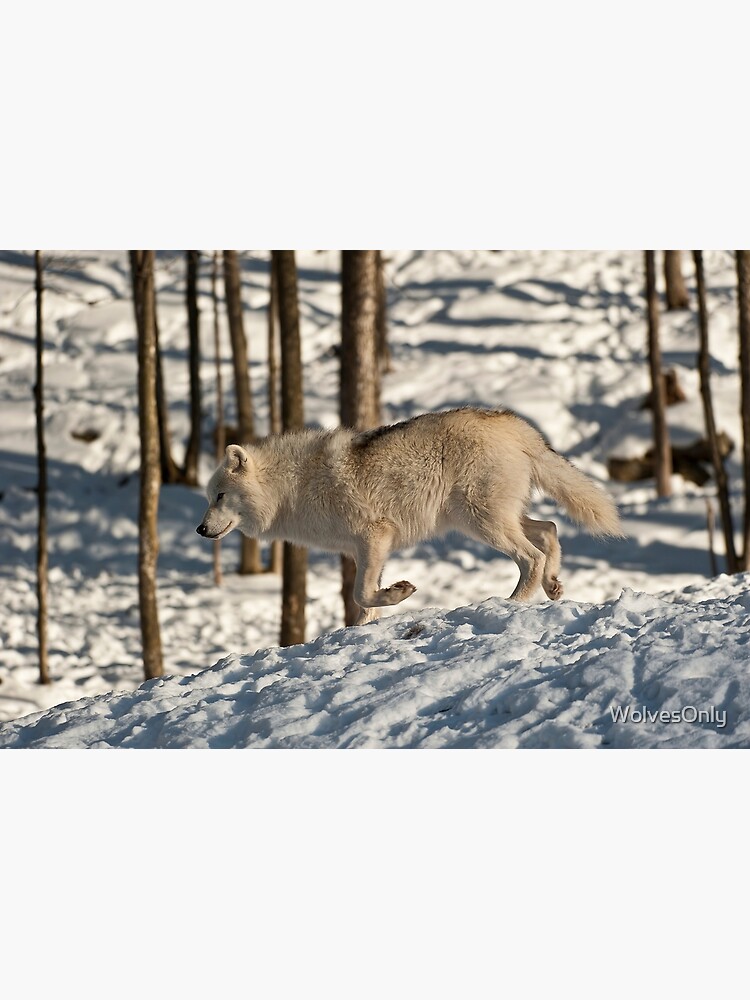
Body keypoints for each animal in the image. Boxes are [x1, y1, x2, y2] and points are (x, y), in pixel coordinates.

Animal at [196, 407, 623, 624]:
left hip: (481, 522)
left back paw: (511, 603)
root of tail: (518, 426)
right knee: (549, 529)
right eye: (209, 498)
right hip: (490, 519)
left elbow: (361, 593)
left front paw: (399, 593)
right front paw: (365, 628)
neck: (293, 485)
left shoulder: (374, 537)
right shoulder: (363, 550)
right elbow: (363, 603)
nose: (200, 529)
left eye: (220, 496)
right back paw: (553, 587)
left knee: (531, 556)